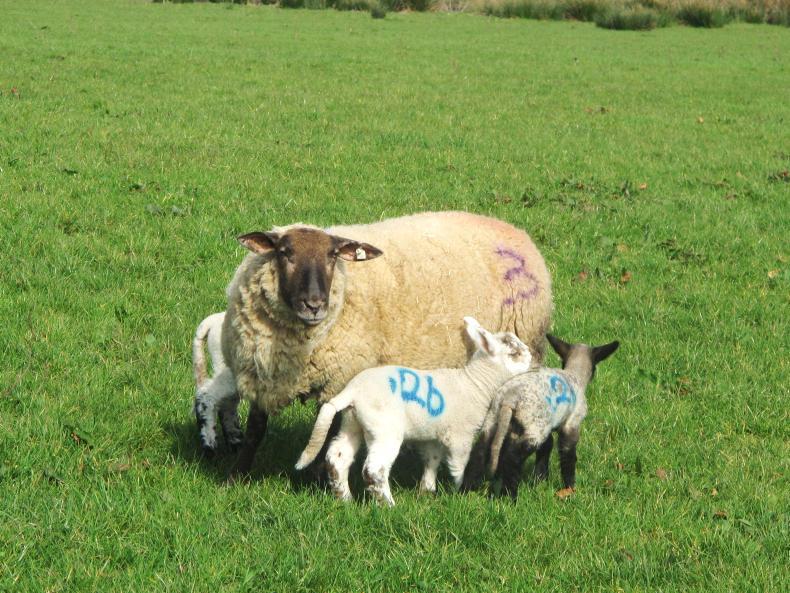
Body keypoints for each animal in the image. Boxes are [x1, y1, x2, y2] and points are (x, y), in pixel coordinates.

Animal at [192, 312, 243, 454]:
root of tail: (212, 320)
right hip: (229, 369)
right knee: (206, 395)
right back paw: (209, 444)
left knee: (226, 405)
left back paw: (235, 442)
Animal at [220, 211, 553, 480]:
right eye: (285, 253)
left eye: (332, 257)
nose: (314, 305)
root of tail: (518, 234)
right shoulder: (262, 372)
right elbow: (255, 430)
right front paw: (237, 476)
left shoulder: (340, 377)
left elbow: (325, 430)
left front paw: (315, 481)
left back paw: (537, 474)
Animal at [294, 317, 533, 506]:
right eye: (514, 353)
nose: (531, 356)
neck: (475, 383)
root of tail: (351, 393)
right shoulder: (460, 436)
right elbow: (459, 464)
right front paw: (460, 491)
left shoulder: (433, 434)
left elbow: (432, 459)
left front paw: (427, 490)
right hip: (385, 429)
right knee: (374, 469)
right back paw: (387, 505)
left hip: (352, 422)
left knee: (338, 456)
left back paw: (344, 498)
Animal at [484, 334, 619, 499]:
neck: (574, 375)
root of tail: (510, 398)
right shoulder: (571, 425)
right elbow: (568, 455)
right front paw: (569, 487)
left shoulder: (548, 428)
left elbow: (546, 449)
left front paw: (540, 480)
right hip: (535, 429)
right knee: (512, 457)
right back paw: (509, 497)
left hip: (494, 422)